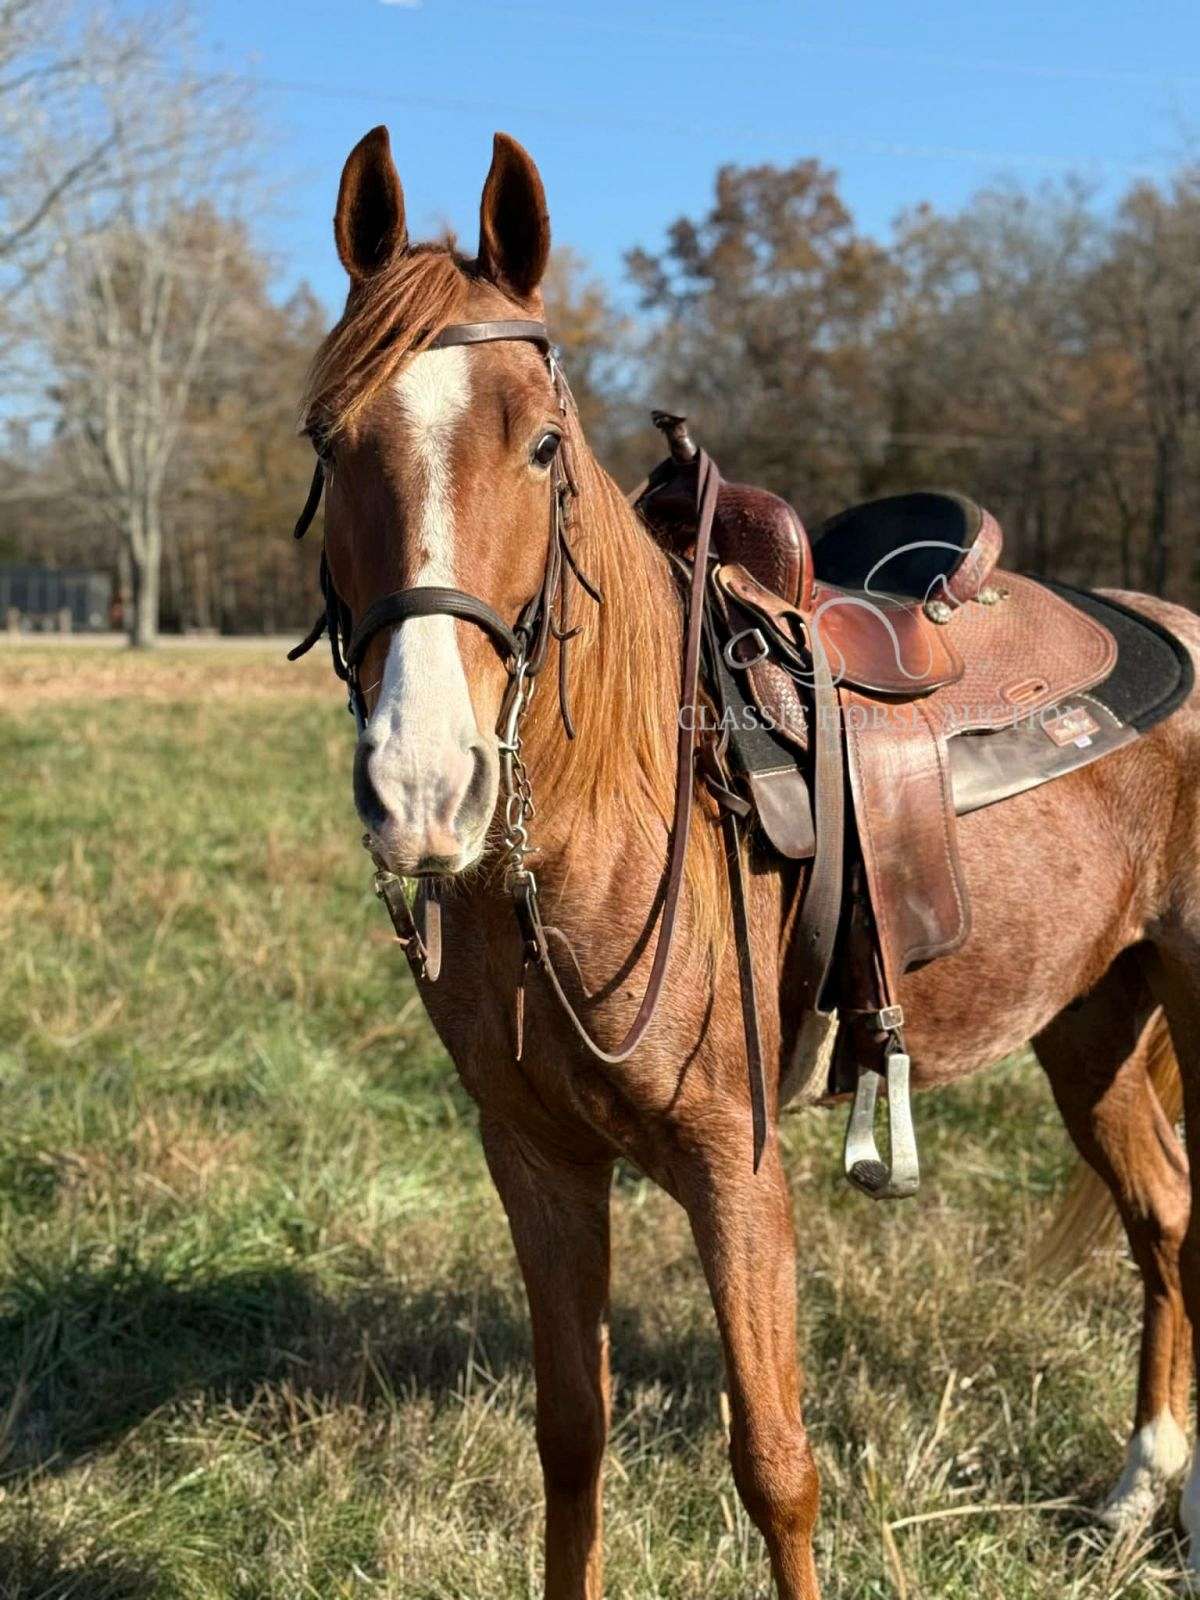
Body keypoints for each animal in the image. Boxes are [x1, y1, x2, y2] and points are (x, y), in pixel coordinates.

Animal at [294, 124, 1200, 1597]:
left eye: (542, 444)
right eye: (329, 438)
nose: (424, 783)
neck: (610, 808)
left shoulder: (739, 1163)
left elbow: (776, 1465)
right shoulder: (534, 1154)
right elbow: (571, 1438)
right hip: (1088, 1019)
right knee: (1164, 1215)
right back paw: (1139, 1487)